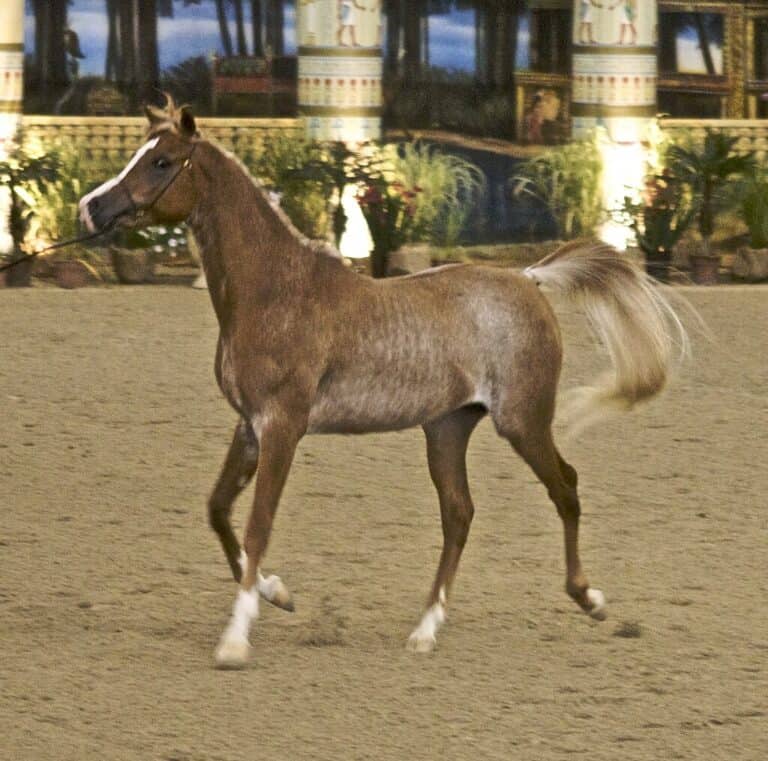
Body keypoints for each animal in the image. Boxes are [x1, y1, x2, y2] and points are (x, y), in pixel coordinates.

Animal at [78, 100, 687, 669]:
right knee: (459, 514)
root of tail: (528, 279)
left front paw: (235, 641)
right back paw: (425, 630)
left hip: (523, 422)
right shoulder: (249, 426)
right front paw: (278, 594)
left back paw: (589, 598)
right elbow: (218, 511)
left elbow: (257, 525)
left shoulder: (282, 428)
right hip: (447, 429)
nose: (92, 208)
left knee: (565, 487)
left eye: (161, 162)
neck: (276, 290)